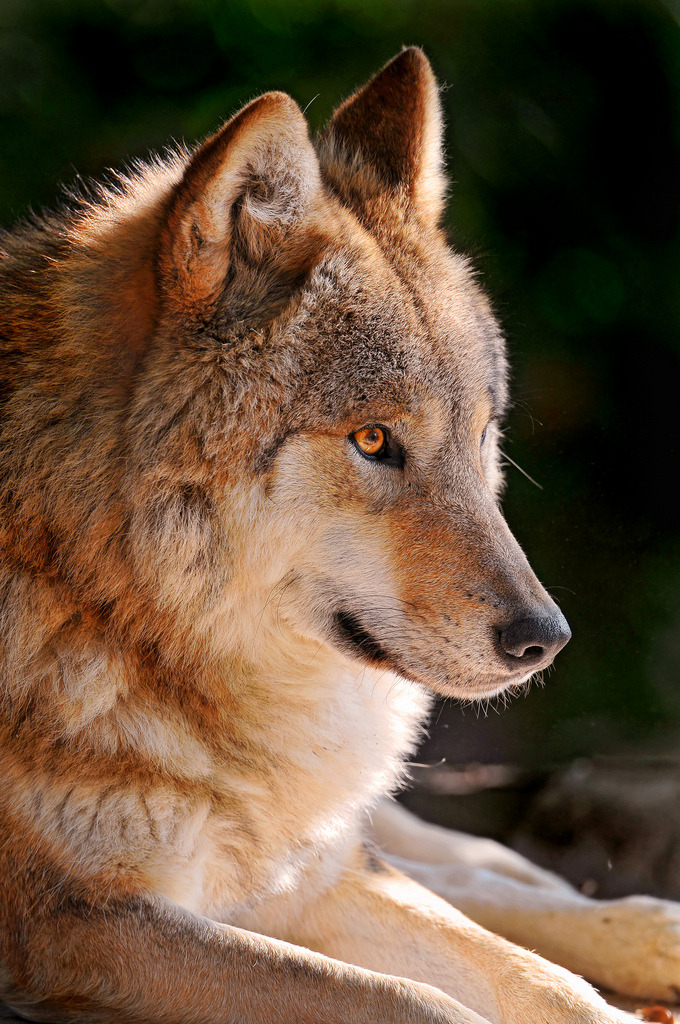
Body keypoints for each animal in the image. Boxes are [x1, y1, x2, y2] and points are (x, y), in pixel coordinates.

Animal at [1, 46, 678, 1024]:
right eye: (372, 440)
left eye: (482, 434)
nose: (543, 641)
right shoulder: (80, 926)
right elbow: (419, 1000)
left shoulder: (301, 880)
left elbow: (540, 981)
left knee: (478, 870)